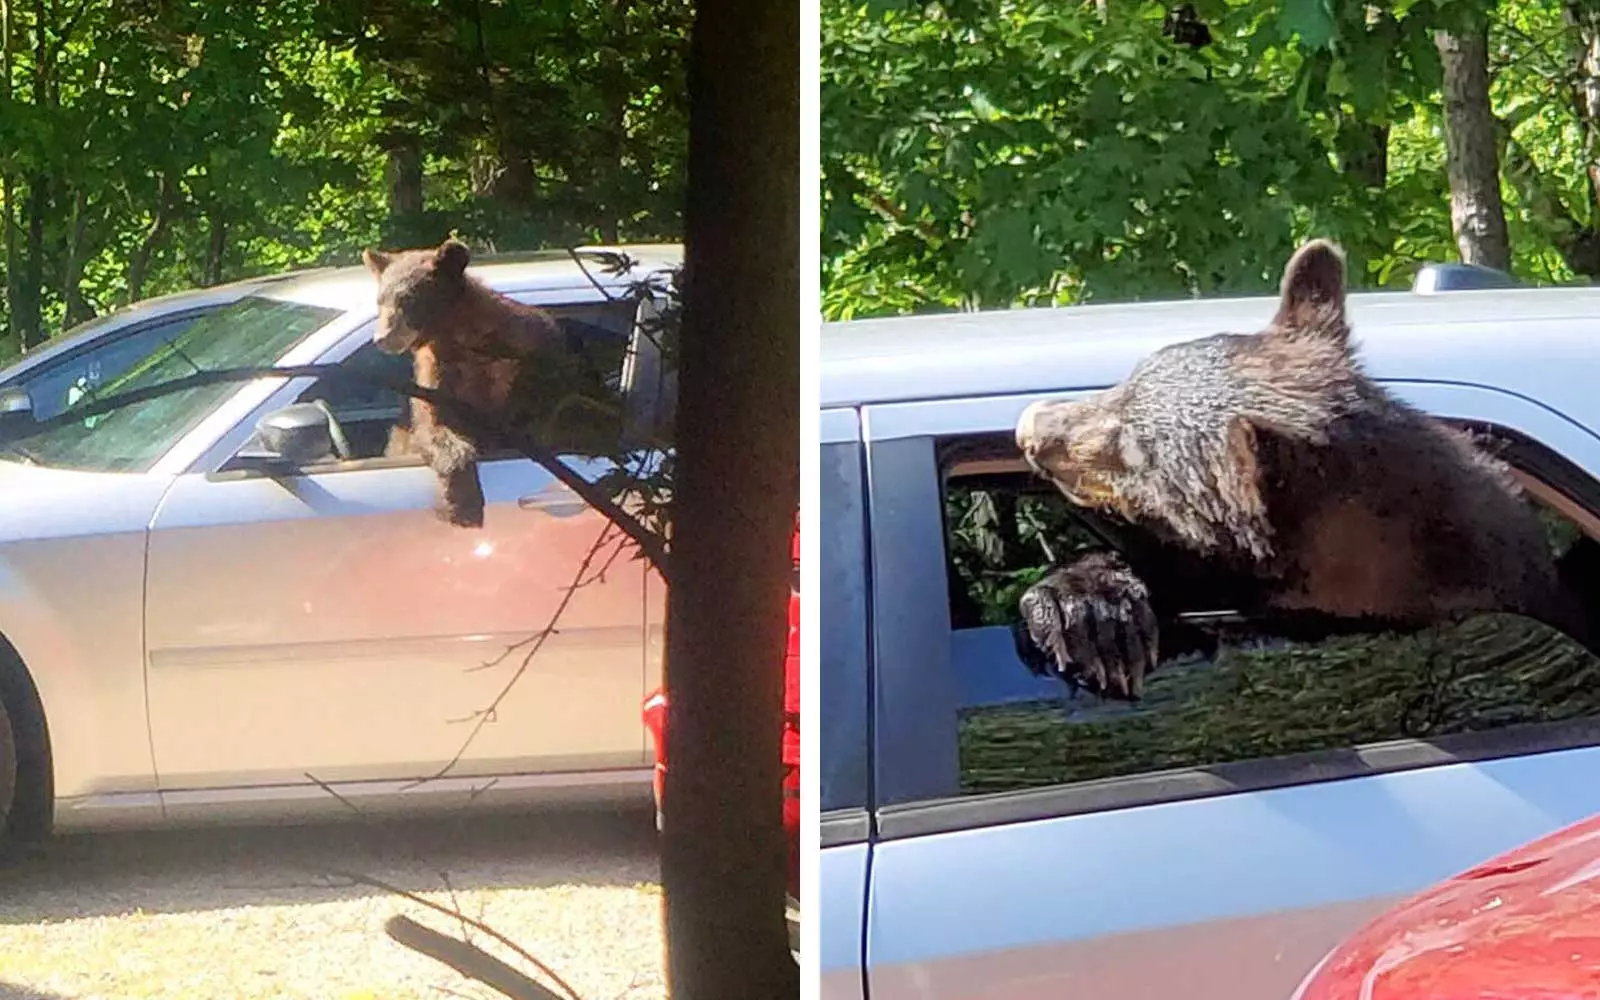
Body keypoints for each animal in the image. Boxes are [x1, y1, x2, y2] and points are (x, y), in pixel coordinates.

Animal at [361, 236, 563, 531]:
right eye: (380, 301)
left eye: (408, 300)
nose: (381, 338)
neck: (462, 337)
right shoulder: (437, 373)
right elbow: (434, 425)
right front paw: (464, 505)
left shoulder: (526, 348)